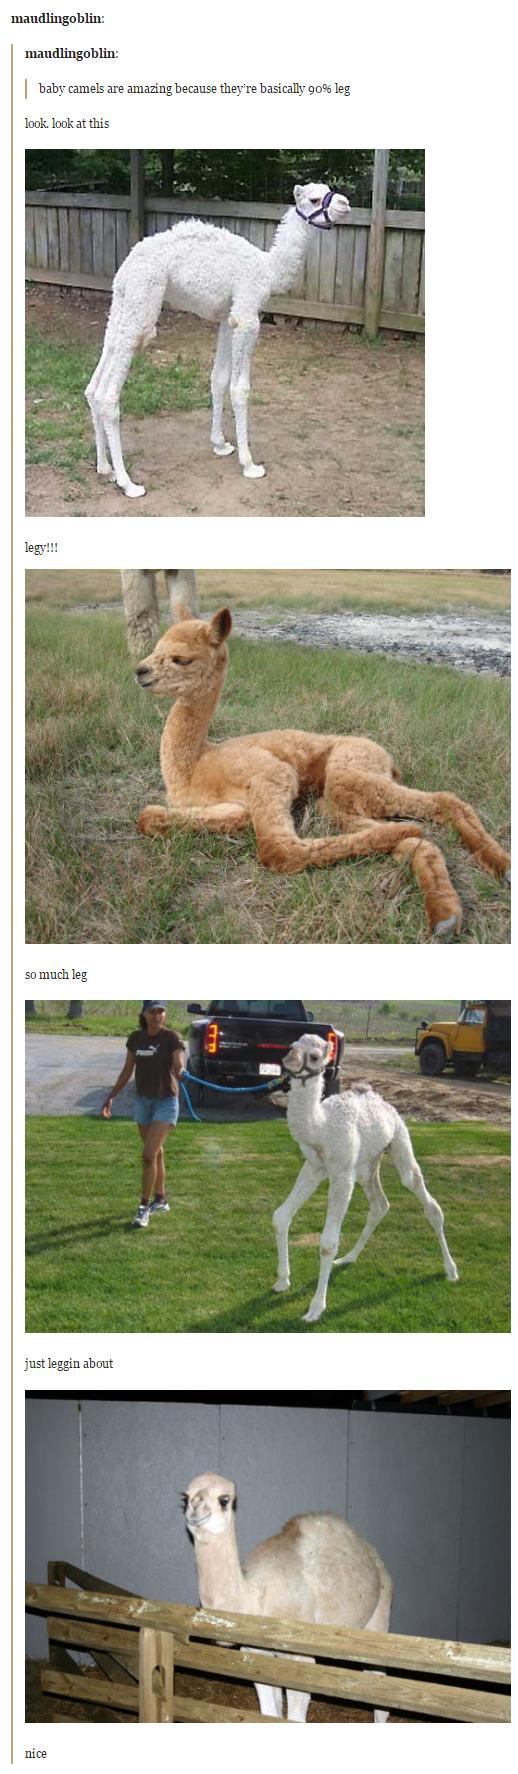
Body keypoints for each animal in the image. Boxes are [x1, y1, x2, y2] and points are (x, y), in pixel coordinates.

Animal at [85, 183, 351, 496]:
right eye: (313, 198)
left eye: (329, 189)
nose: (345, 204)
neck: (267, 269)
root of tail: (125, 268)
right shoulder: (247, 315)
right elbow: (240, 388)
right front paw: (249, 463)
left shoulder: (227, 317)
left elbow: (218, 379)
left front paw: (221, 444)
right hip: (144, 300)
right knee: (109, 393)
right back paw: (128, 482)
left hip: (123, 302)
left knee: (96, 379)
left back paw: (104, 467)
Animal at [135, 607, 511, 941]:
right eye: (155, 648)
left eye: (181, 659)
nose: (140, 671)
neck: (196, 763)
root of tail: (387, 758)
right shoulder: (221, 805)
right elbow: (149, 816)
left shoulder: (272, 773)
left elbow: (279, 851)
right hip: (341, 799)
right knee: (403, 835)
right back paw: (444, 912)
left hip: (349, 773)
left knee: (444, 800)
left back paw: (498, 868)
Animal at [183, 1472, 393, 1722]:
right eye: (185, 1497)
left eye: (224, 1499)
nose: (195, 1509)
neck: (256, 1598)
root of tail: (374, 1558)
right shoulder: (256, 1653)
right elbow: (269, 1712)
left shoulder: (299, 1655)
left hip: (379, 1617)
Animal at [273, 1034, 459, 1322]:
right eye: (292, 1046)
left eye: (314, 1056)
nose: (289, 1060)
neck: (321, 1128)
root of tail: (384, 1103)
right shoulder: (314, 1167)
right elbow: (280, 1217)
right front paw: (282, 1281)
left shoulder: (341, 1173)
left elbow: (327, 1243)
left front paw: (316, 1308)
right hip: (366, 1165)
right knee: (380, 1204)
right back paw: (348, 1258)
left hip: (399, 1141)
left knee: (423, 1196)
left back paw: (451, 1270)